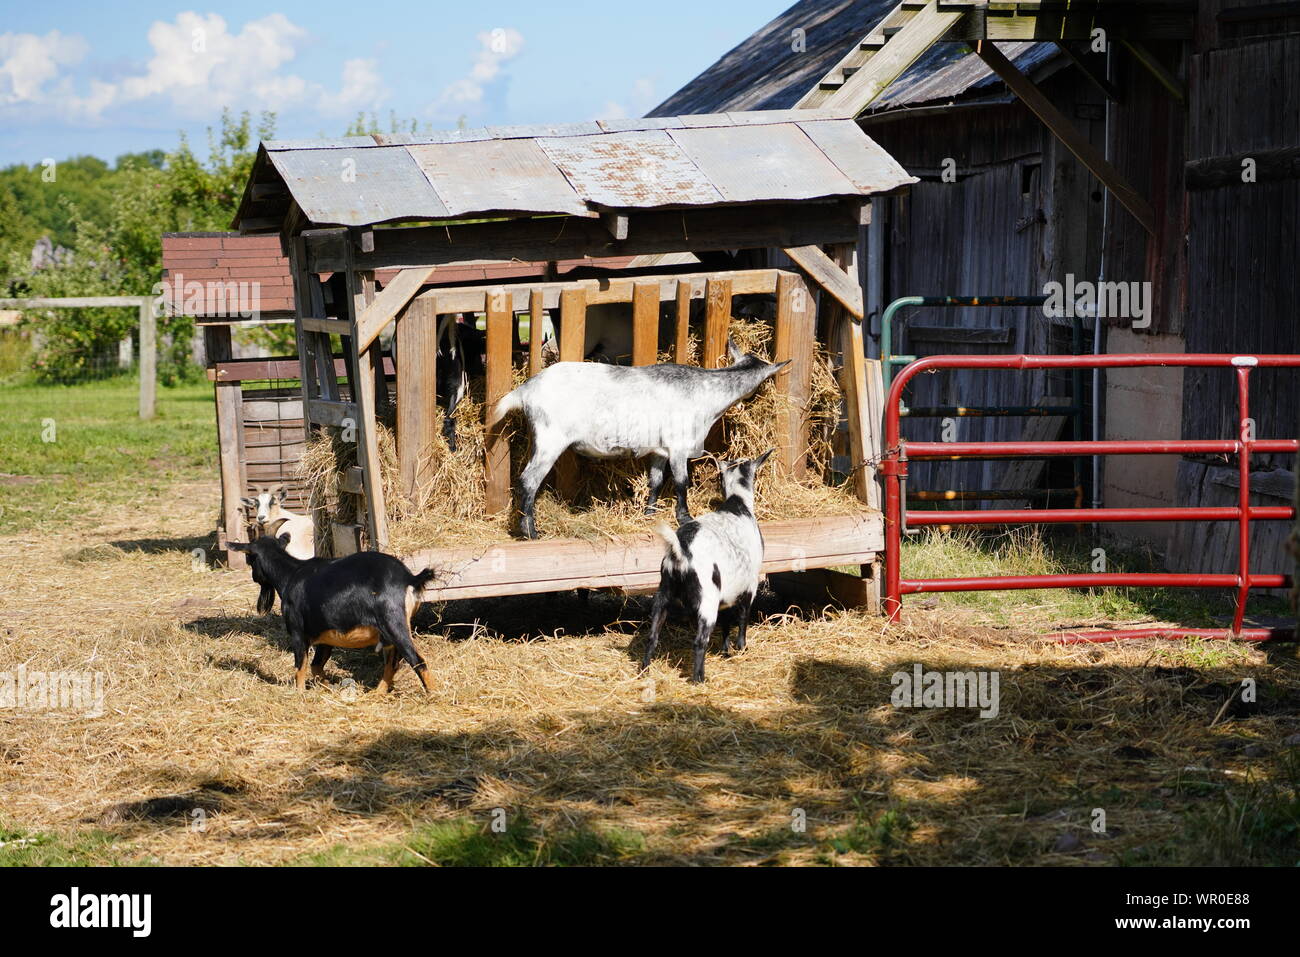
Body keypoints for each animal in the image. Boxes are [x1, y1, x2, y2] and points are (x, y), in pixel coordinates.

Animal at [230, 535, 438, 693]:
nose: (253, 576)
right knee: (392, 664)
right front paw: (328, 686)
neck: (290, 574)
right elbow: (315, 666)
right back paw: (377, 693)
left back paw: (432, 695)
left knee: (417, 661)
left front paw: (299, 694)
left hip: (394, 624)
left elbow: (300, 667)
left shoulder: (298, 633)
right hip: (388, 634)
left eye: (250, 560)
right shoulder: (325, 636)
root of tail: (409, 578)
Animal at [493, 339, 787, 539]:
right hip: (550, 440)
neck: (705, 392)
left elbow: (655, 481)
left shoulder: (660, 450)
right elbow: (681, 483)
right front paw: (685, 517)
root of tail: (526, 389)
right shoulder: (678, 446)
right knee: (528, 480)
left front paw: (649, 513)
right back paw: (530, 532)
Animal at [642, 449, 772, 683]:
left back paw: (644, 671)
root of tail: (681, 551)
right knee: (699, 641)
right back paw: (699, 679)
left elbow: (727, 622)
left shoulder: (728, 593)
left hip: (663, 593)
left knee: (652, 636)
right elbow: (743, 619)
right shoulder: (750, 586)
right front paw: (741, 648)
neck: (738, 504)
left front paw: (726, 650)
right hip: (707, 599)